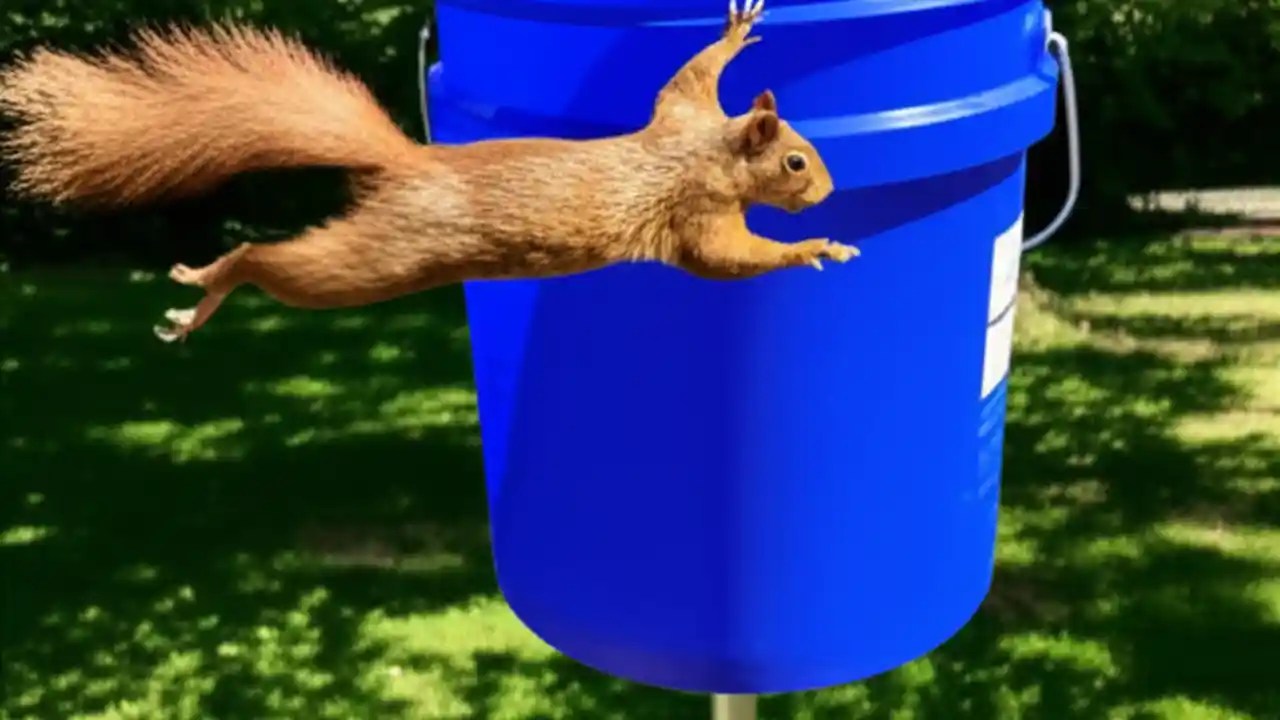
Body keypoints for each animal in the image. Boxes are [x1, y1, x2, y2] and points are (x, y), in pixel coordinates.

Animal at [0, 0, 855, 343]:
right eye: (795, 160)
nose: (829, 191)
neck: (709, 149)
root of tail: (407, 163)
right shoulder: (692, 207)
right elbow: (727, 261)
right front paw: (816, 247)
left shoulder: (682, 113)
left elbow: (686, 74)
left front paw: (736, 31)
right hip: (379, 258)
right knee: (267, 260)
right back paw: (207, 289)